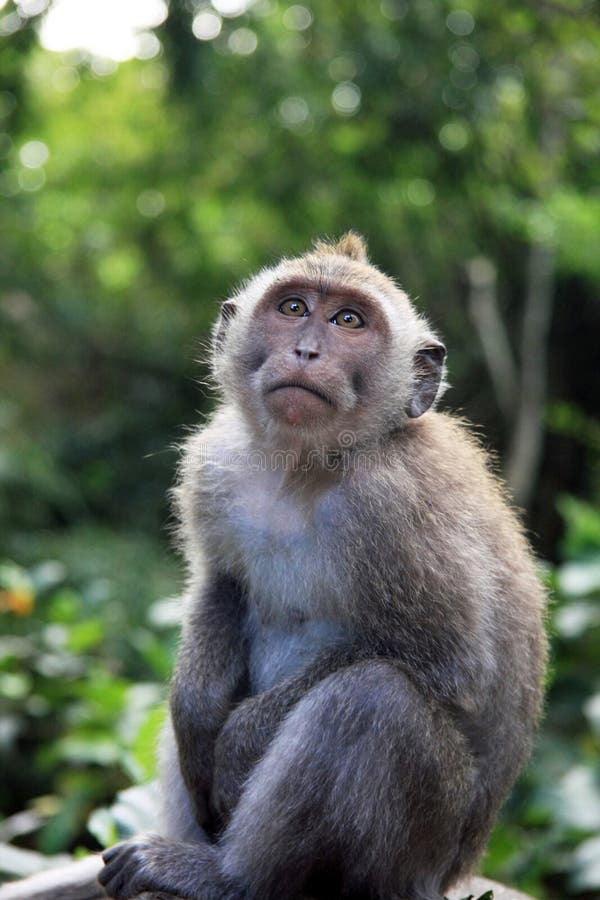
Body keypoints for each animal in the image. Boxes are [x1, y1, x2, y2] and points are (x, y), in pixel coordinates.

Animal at [99, 233, 547, 900]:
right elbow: (221, 586)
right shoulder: (214, 463)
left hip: (416, 850)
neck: (304, 467)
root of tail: (454, 871)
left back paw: (227, 876)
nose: (306, 350)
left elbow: (453, 662)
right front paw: (198, 717)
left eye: (349, 322)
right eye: (293, 309)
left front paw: (237, 745)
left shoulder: (396, 504)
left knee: (373, 699)